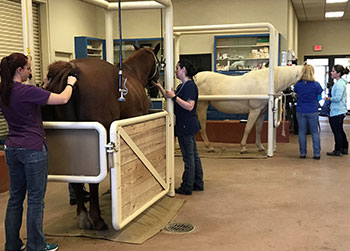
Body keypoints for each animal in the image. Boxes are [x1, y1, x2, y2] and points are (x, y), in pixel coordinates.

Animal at [42, 43, 161, 229]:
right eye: (160, 63)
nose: (156, 87)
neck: (134, 73)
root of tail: (72, 69)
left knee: (76, 180)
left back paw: (82, 215)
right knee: (93, 182)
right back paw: (96, 218)